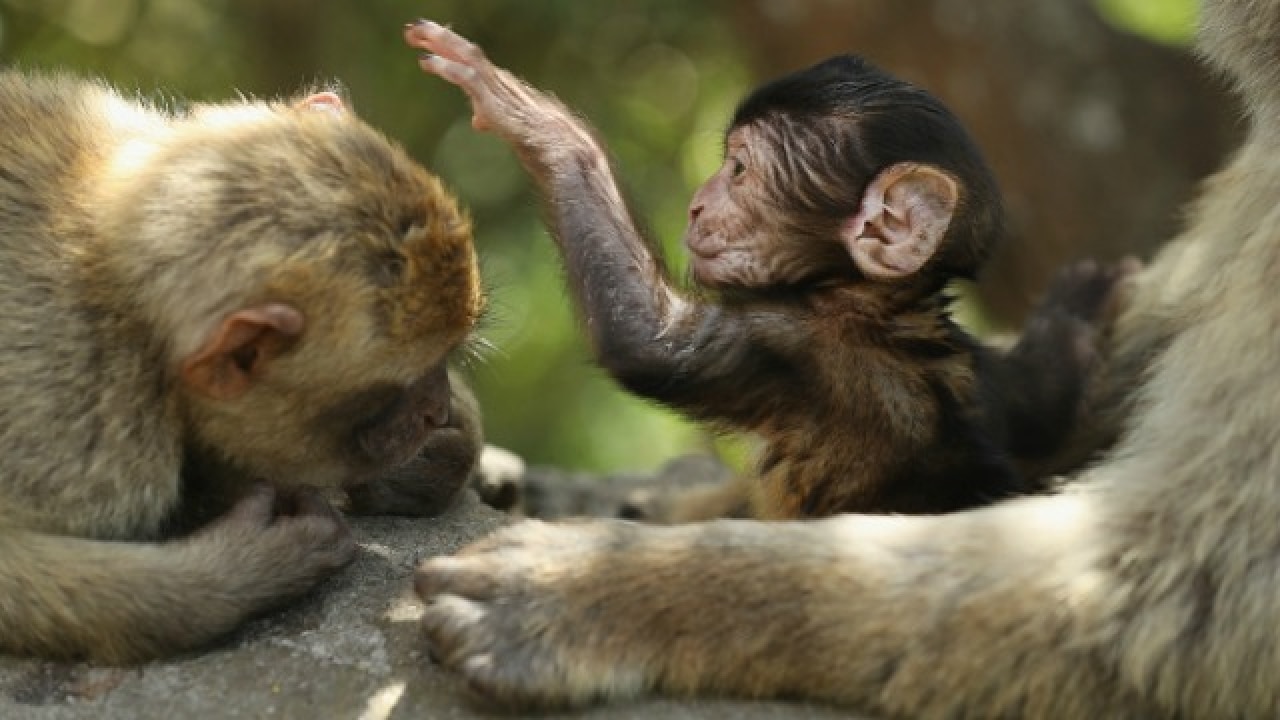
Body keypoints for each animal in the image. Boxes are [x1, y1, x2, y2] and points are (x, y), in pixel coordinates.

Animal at [406, 24, 1127, 520]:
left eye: (739, 170)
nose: (697, 202)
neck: (876, 306)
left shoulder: (806, 352)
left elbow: (648, 337)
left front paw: (539, 123)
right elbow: (1041, 401)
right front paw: (1079, 306)